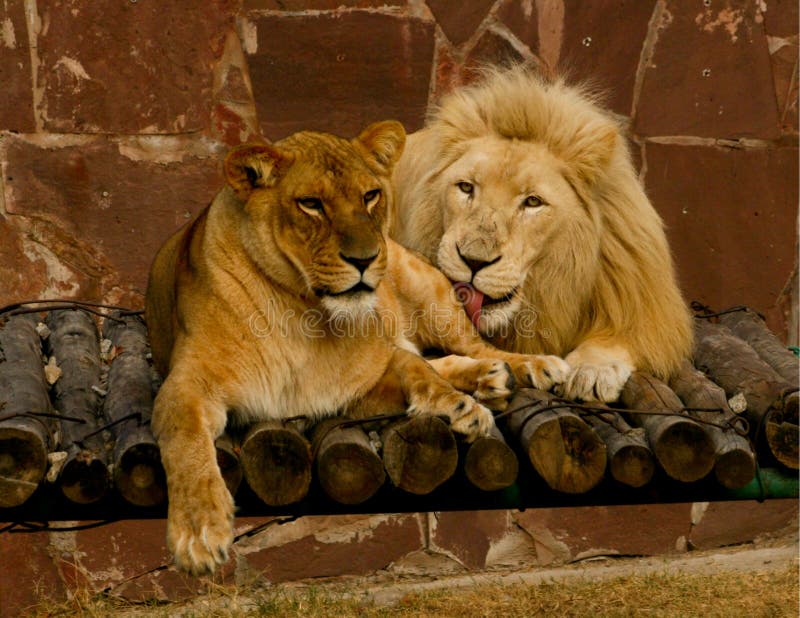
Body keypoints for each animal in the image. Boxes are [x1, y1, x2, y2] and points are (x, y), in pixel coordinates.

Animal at [145, 120, 569, 575]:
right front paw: (199, 534)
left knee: (472, 346)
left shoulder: (362, 377)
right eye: (311, 204)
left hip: (431, 294)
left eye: (370, 196)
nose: (366, 259)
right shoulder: (186, 385)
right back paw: (489, 380)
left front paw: (460, 409)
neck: (298, 312)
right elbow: (187, 442)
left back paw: (530, 367)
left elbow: (416, 370)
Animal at [391, 67, 693, 402]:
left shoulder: (645, 304)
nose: (473, 262)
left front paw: (590, 372)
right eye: (466, 187)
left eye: (533, 202)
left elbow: (623, 335)